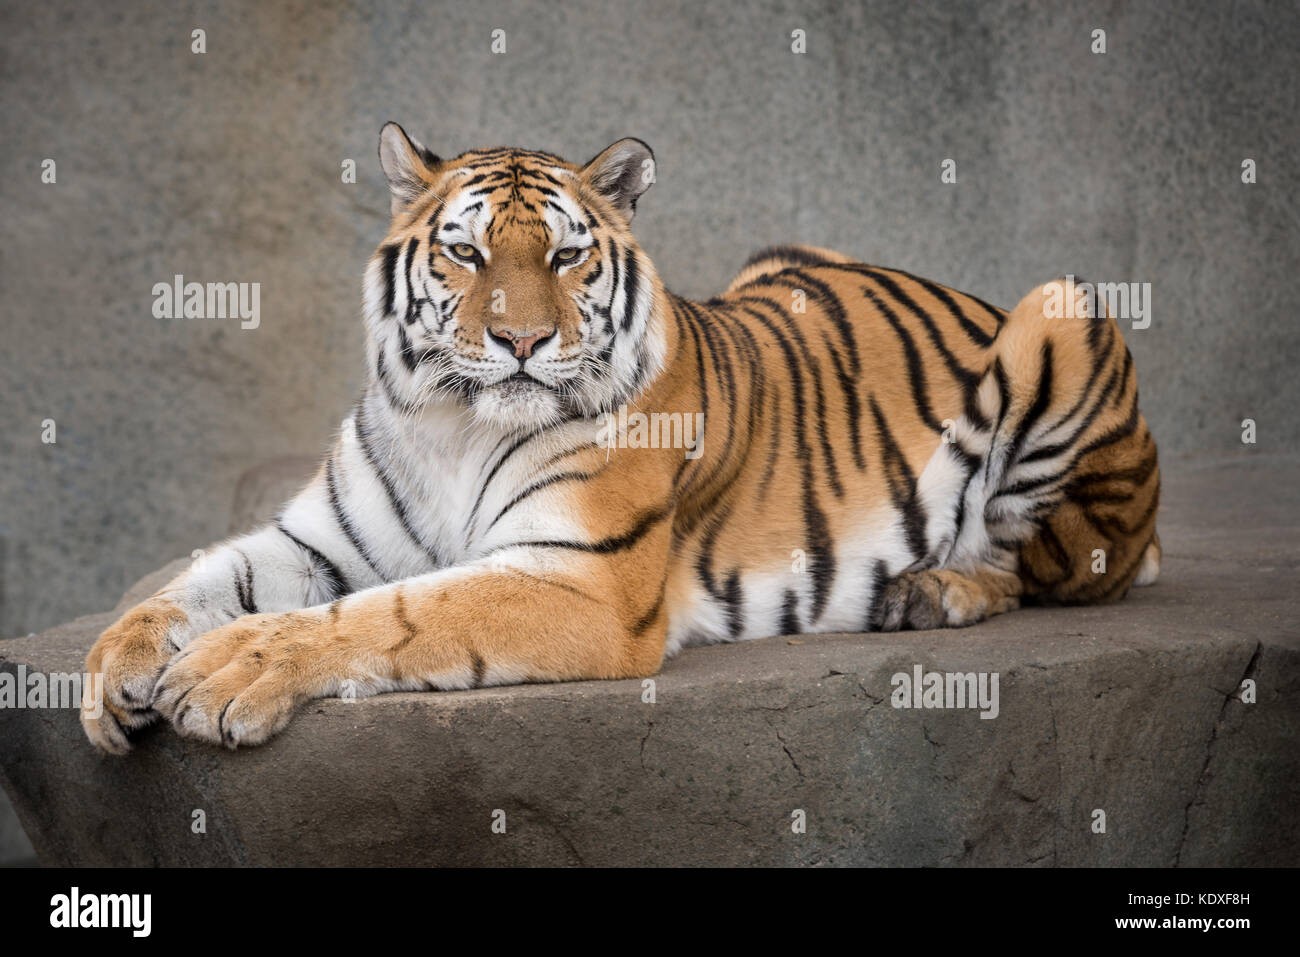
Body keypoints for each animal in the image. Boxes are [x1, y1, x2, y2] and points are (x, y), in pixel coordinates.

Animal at [81, 123, 1161, 753]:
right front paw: (112, 665)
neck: (454, 422)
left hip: (1067, 311)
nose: (521, 340)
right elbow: (202, 579)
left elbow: (397, 613)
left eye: (564, 256)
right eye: (465, 252)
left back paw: (930, 591)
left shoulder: (580, 578)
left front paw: (228, 673)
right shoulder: (317, 540)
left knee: (1043, 564)